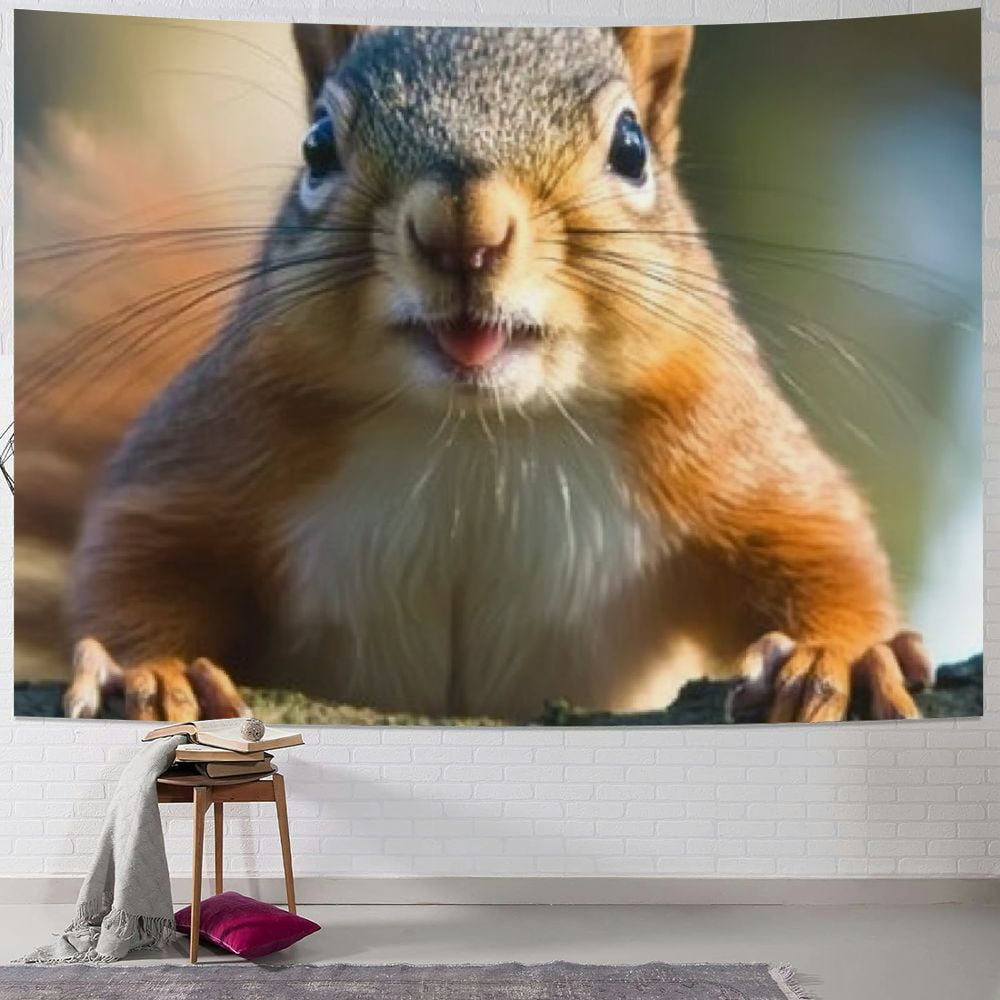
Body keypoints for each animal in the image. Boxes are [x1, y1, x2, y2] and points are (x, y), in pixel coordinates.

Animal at [58, 24, 933, 724]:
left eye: (630, 147)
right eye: (316, 146)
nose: (463, 231)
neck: (478, 428)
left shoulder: (713, 432)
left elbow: (812, 534)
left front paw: (841, 653)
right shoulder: (224, 437)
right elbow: (146, 547)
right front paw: (153, 668)